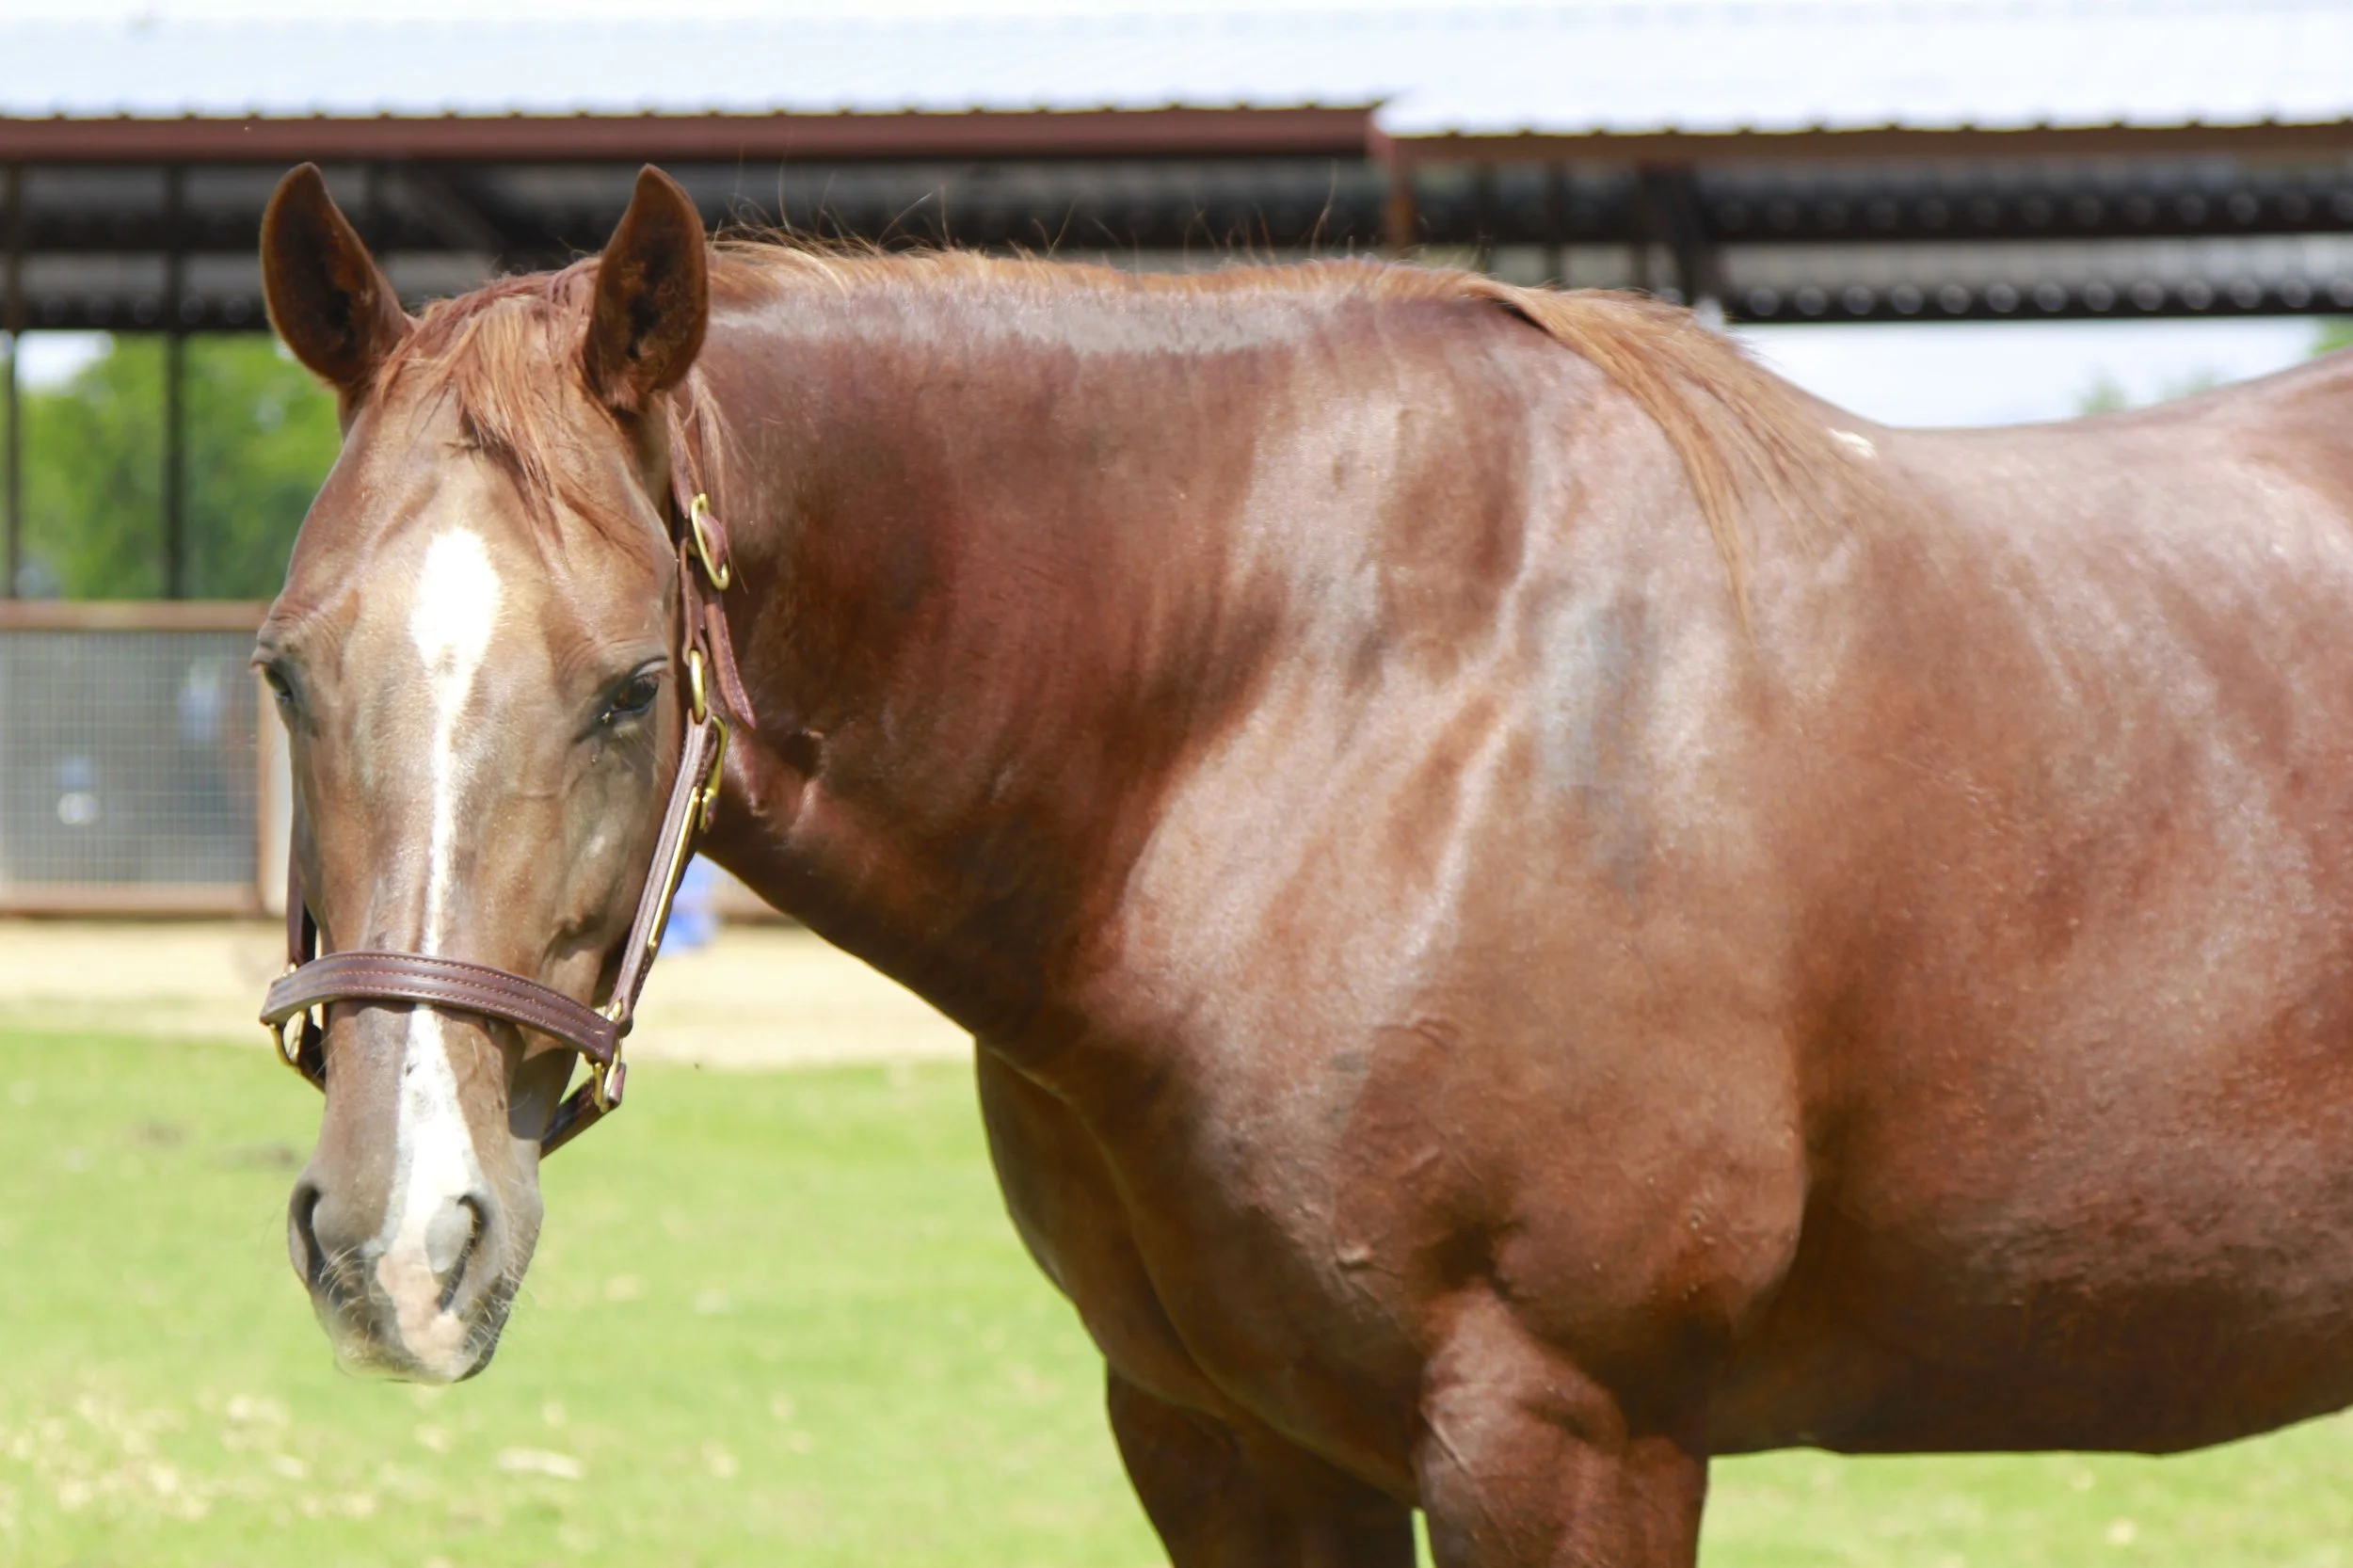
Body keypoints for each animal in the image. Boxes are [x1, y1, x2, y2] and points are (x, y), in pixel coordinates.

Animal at [252, 160, 2353, 1565]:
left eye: (628, 688)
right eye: (284, 665)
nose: (393, 1246)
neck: (1319, 712)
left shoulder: (1567, 1435)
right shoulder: (1226, 1438)